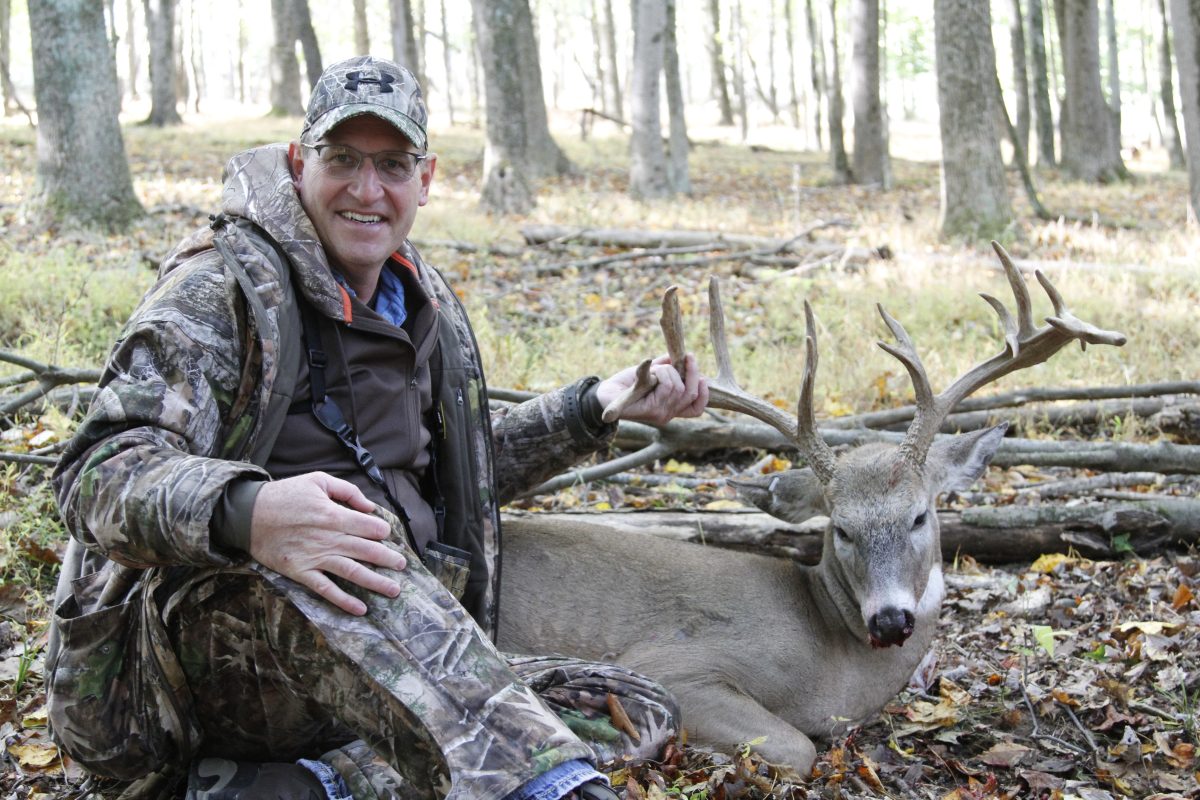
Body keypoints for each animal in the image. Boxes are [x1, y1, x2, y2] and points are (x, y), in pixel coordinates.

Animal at [497, 243, 1126, 776]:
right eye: (840, 529)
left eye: (920, 516)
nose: (891, 619)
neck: (834, 664)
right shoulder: (672, 661)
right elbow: (797, 748)